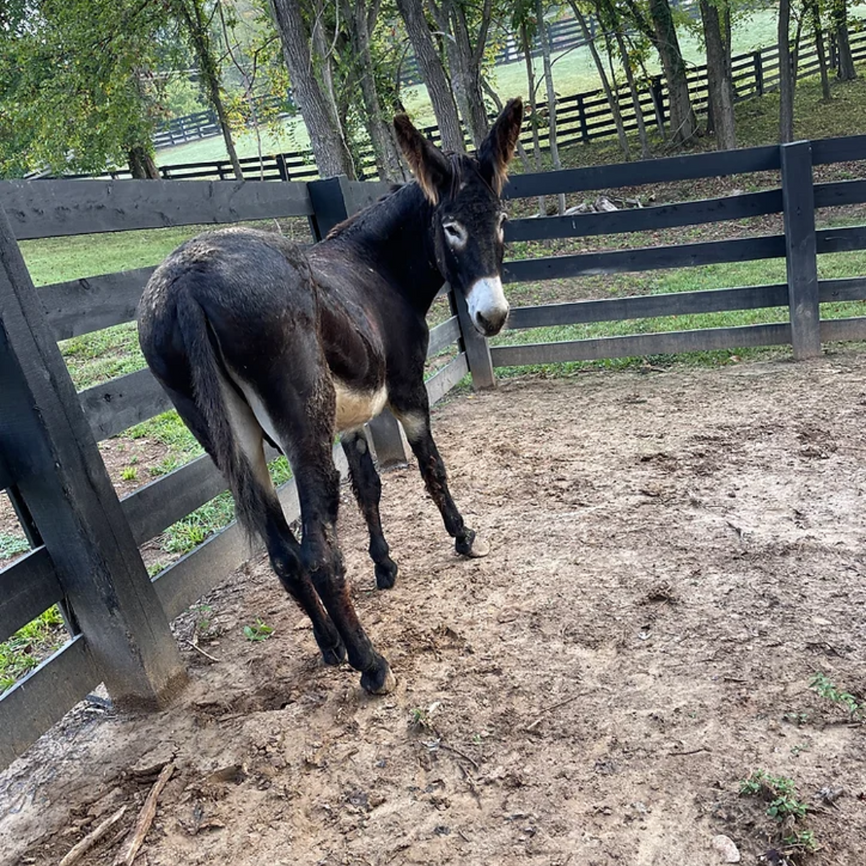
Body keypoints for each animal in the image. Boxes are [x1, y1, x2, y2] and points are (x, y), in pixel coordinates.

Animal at [137, 98, 524, 695]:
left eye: (501, 221)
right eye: (451, 228)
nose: (491, 317)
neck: (375, 265)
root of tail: (187, 282)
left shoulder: (351, 418)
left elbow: (369, 486)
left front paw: (384, 566)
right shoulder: (407, 389)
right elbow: (431, 466)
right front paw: (463, 537)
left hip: (224, 432)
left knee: (282, 553)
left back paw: (330, 645)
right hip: (303, 424)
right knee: (317, 551)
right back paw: (371, 663)